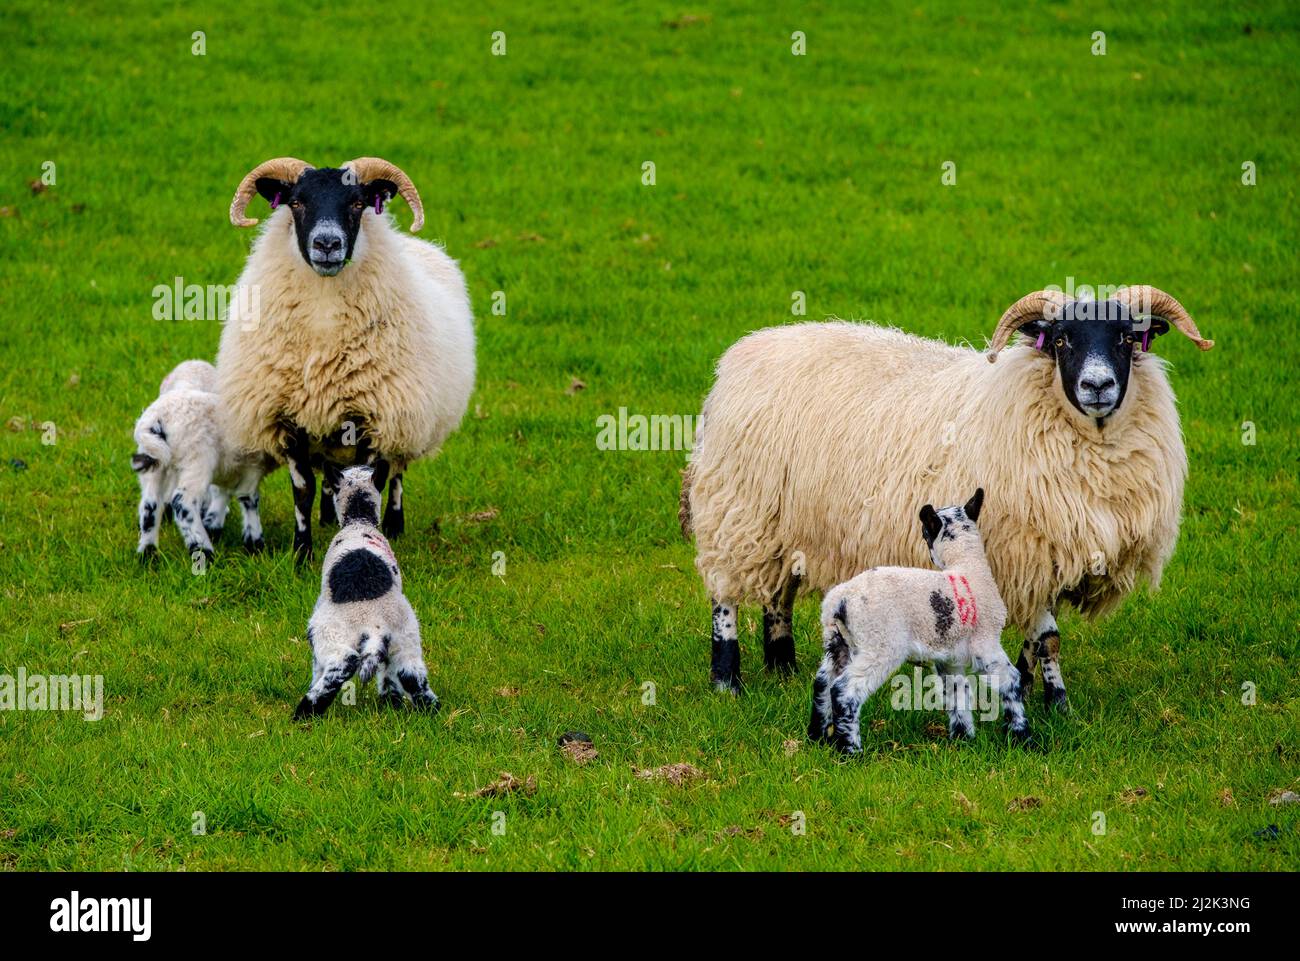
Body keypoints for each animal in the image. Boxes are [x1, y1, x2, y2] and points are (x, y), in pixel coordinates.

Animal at [132, 361, 274, 560]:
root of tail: (155, 421)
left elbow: (224, 493)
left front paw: (215, 525)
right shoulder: (251, 468)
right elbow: (248, 499)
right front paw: (255, 545)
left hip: (154, 464)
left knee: (150, 505)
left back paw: (148, 554)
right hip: (197, 460)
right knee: (182, 502)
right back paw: (203, 551)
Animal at [216, 156, 475, 561]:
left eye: (357, 204)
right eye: (296, 202)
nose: (327, 243)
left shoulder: (373, 418)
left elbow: (372, 483)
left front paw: (368, 535)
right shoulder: (288, 420)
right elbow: (303, 491)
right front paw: (302, 555)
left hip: (405, 418)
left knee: (396, 473)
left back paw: (394, 524)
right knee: (332, 475)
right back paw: (328, 517)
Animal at [293, 464, 438, 719]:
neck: (359, 521)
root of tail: (375, 625)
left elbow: (316, 667)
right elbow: (389, 676)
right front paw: (391, 701)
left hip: (329, 632)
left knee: (342, 665)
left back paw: (305, 712)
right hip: (405, 638)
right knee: (412, 676)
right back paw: (428, 710)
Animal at [682, 285, 1213, 700]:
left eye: (1126, 338)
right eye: (1062, 339)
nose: (1097, 385)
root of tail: (740, 355)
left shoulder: (1049, 557)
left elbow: (1037, 640)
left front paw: (1025, 686)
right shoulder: (1028, 549)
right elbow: (1048, 638)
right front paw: (1054, 703)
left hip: (786, 522)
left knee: (779, 595)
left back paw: (783, 668)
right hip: (738, 509)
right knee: (725, 596)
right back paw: (727, 683)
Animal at [808, 488, 1029, 753]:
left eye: (924, 532)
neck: (969, 568)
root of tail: (840, 600)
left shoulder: (949, 656)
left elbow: (957, 692)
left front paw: (962, 738)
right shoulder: (986, 642)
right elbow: (1011, 680)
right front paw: (1021, 736)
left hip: (837, 641)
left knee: (823, 682)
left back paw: (817, 736)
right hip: (880, 643)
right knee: (845, 690)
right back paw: (850, 750)